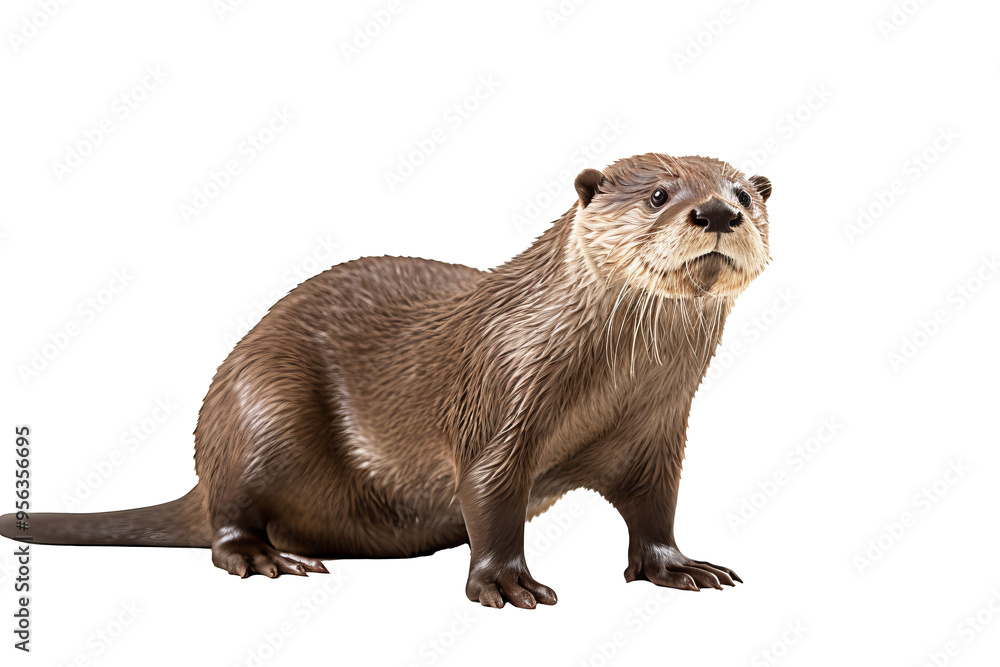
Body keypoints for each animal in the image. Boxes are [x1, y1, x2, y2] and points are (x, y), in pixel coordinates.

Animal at [1, 153, 772, 609]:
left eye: (743, 192)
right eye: (658, 194)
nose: (718, 212)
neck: (608, 385)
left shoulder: (657, 429)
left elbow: (655, 507)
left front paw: (680, 567)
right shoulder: (500, 395)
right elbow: (490, 493)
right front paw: (506, 581)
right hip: (257, 410)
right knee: (227, 517)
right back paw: (266, 557)